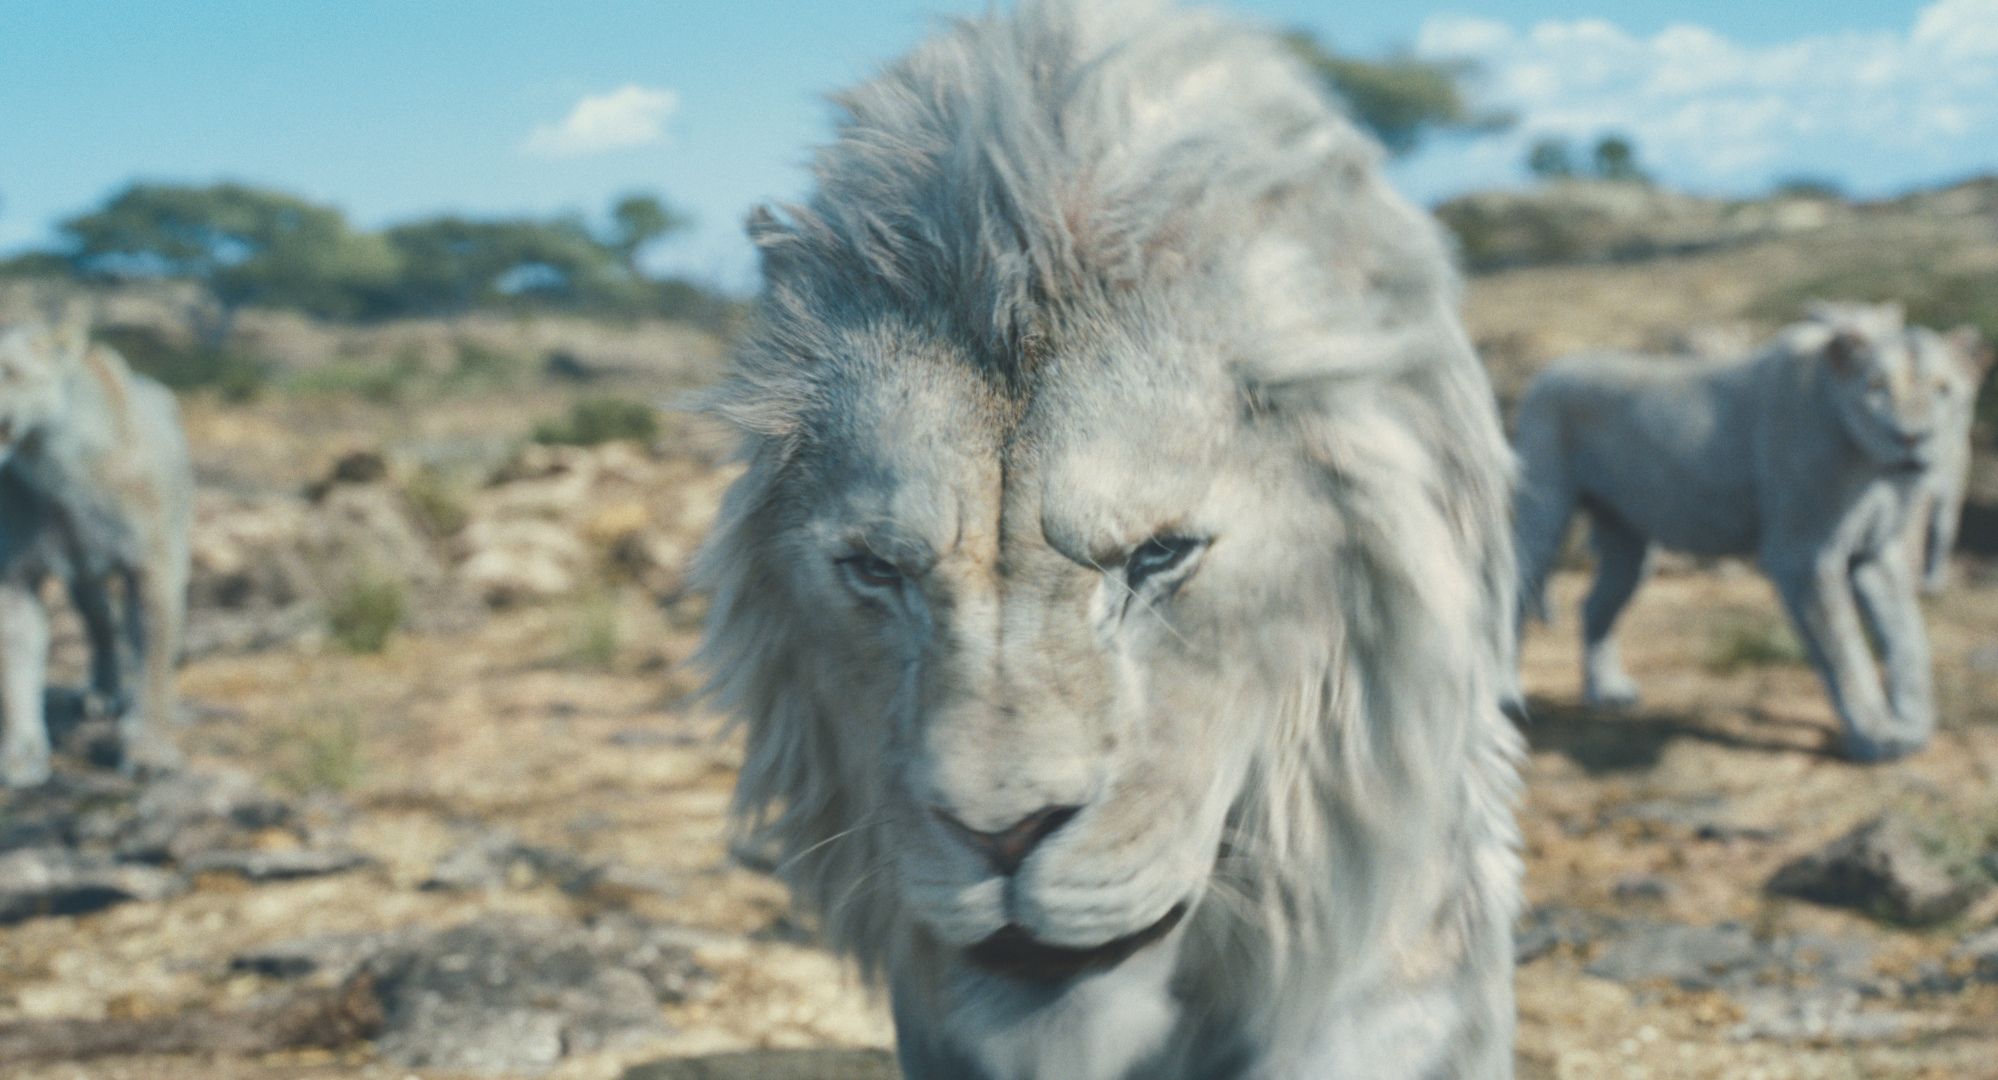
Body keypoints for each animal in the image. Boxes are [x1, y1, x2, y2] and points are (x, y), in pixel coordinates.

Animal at [0, 320, 193, 787]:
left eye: (9, 372)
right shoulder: (16, 575)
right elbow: (17, 663)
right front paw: (21, 757)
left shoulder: (154, 569)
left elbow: (153, 660)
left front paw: (149, 750)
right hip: (82, 577)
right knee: (101, 623)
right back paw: (103, 693)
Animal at [1512, 302, 1970, 762]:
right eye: (1876, 387)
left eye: (1943, 389)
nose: (1912, 438)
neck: (1872, 465)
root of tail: (1547, 373)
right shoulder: (1802, 556)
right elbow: (1845, 651)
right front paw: (1876, 737)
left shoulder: (1874, 552)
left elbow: (1908, 639)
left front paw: (1913, 727)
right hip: (1543, 516)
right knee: (1512, 596)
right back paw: (1508, 697)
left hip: (1628, 546)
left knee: (1593, 606)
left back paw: (1606, 693)